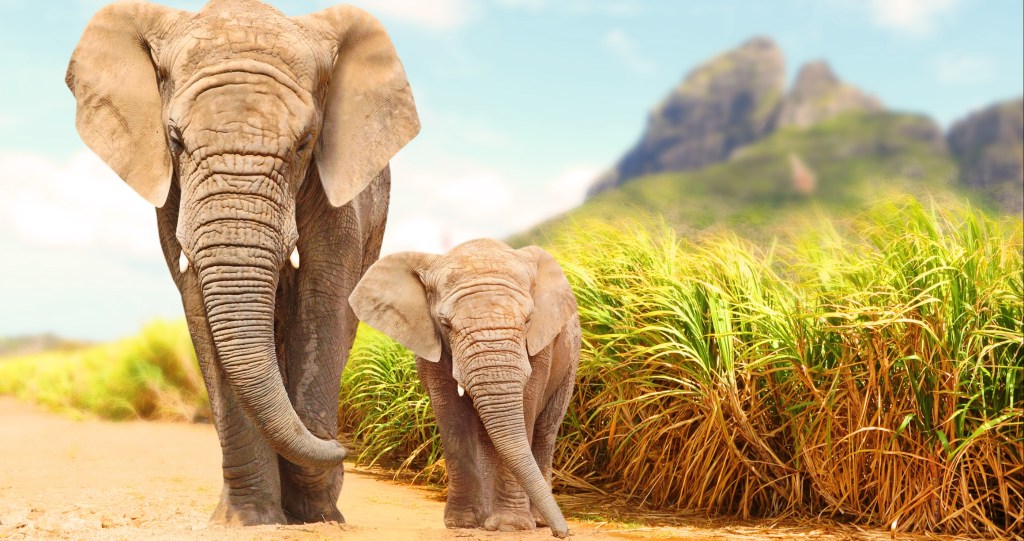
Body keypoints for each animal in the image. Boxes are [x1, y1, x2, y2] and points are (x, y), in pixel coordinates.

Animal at [65, 0, 418, 525]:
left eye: (305, 142)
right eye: (174, 139)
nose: (346, 447)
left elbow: (324, 297)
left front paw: (316, 513)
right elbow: (199, 304)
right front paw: (250, 520)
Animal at [349, 239, 580, 538]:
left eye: (528, 320)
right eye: (446, 324)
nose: (563, 533)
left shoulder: (541, 347)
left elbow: (527, 408)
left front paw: (510, 526)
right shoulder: (430, 343)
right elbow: (452, 417)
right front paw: (463, 523)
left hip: (570, 361)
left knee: (544, 430)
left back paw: (536, 520)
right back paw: (487, 520)